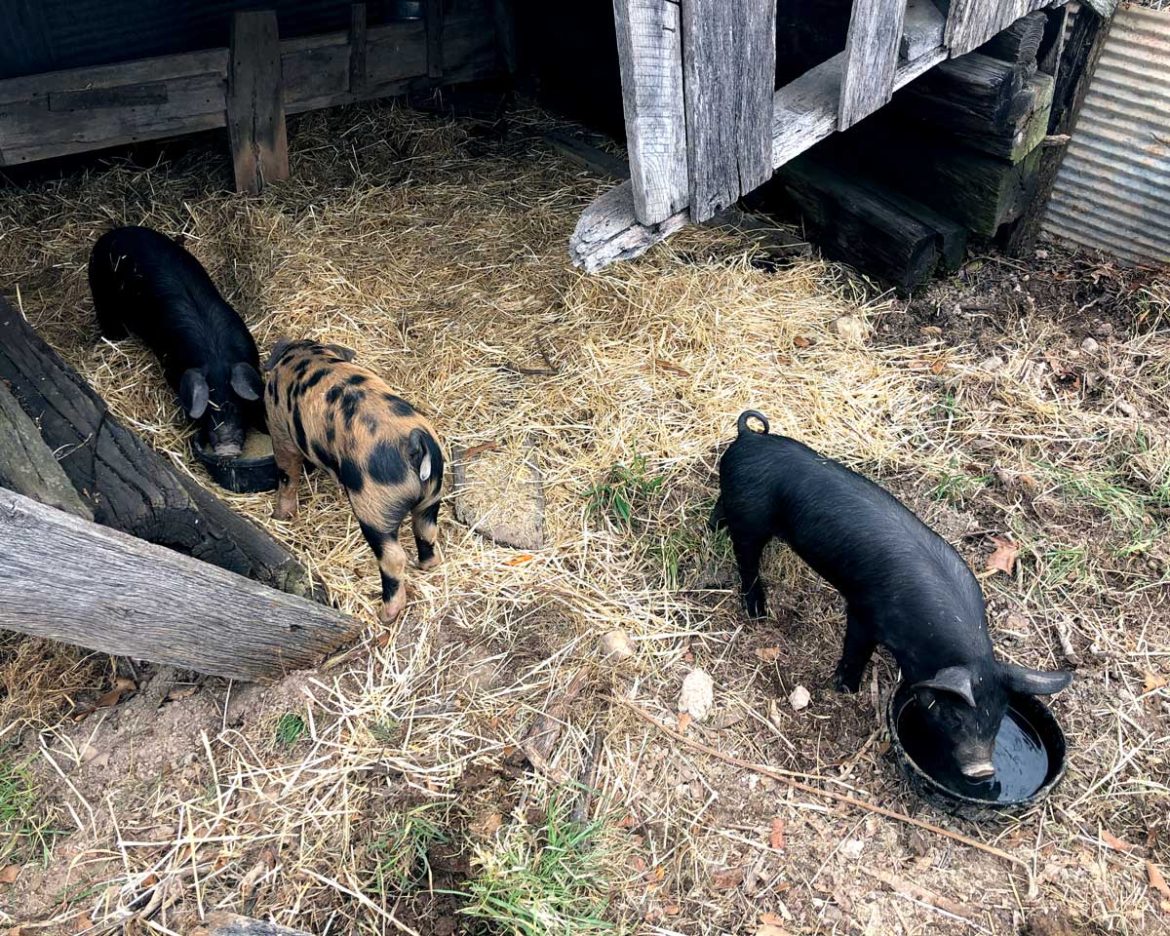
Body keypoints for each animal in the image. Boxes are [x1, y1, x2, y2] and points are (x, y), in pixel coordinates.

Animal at [89, 225, 265, 457]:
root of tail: (113, 233)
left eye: (237, 406)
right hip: (100, 293)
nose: (227, 450)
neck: (215, 356)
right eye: (208, 411)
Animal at [263, 338, 444, 623]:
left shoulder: (280, 427)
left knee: (393, 558)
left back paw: (386, 615)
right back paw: (427, 566)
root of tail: (414, 444)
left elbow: (287, 471)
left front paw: (280, 517)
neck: (307, 354)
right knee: (426, 530)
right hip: (432, 494)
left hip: (374, 506)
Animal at [710, 410, 1071, 780]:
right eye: (954, 716)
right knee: (747, 559)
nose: (983, 771)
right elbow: (855, 649)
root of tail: (748, 438)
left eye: (998, 718)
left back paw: (715, 528)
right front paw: (845, 688)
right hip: (751, 519)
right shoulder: (864, 612)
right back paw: (757, 611)